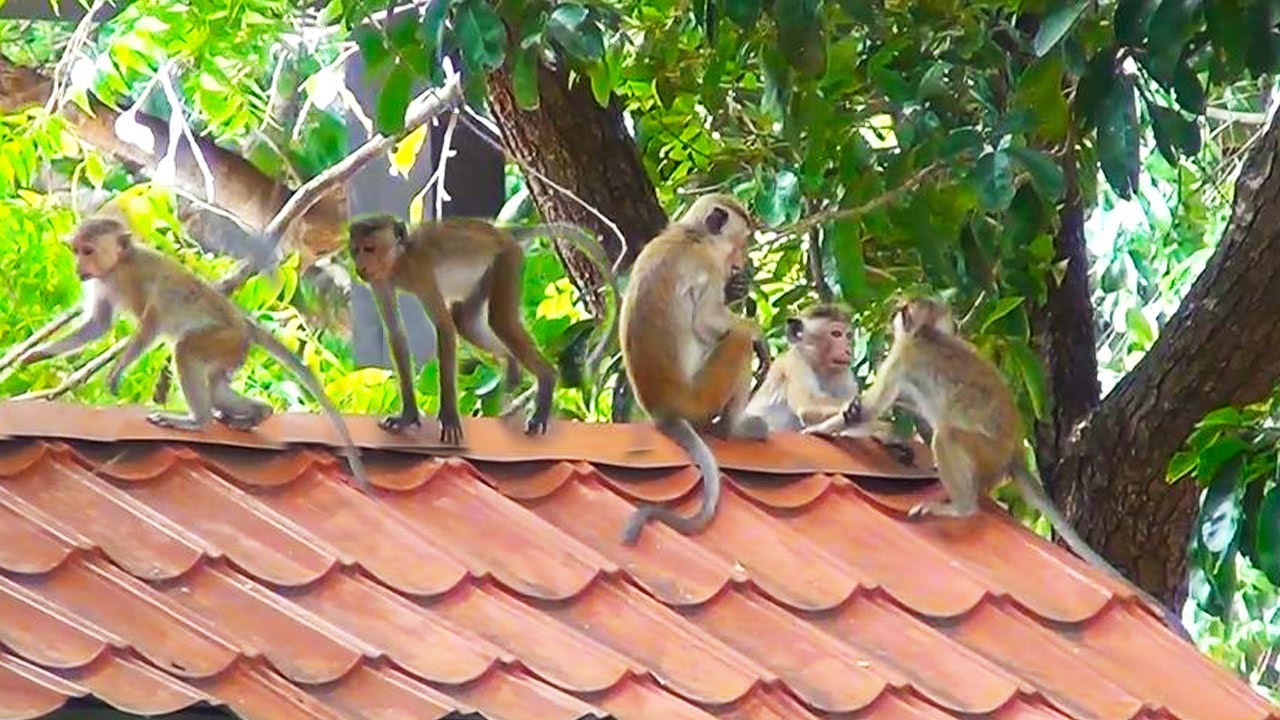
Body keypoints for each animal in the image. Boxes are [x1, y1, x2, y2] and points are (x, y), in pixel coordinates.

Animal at [18, 217, 373, 491]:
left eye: (88, 250)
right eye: (76, 250)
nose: (79, 266)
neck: (118, 264)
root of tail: (243, 326)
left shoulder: (136, 276)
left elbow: (151, 324)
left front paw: (116, 372)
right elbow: (98, 325)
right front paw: (37, 354)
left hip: (221, 339)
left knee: (186, 350)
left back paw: (196, 421)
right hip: (230, 351)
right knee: (216, 387)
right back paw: (258, 412)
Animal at [347, 215, 619, 445]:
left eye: (368, 249)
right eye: (355, 250)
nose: (359, 266)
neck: (399, 261)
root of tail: (501, 232)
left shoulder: (420, 269)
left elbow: (444, 328)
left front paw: (449, 417)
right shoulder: (380, 280)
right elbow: (397, 336)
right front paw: (408, 416)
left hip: (507, 260)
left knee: (500, 321)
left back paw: (546, 382)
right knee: (466, 321)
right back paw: (512, 369)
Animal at [618, 193, 770, 545]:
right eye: (738, 244)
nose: (739, 262)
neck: (693, 234)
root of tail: (662, 411)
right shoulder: (706, 266)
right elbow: (707, 322)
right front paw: (757, 333)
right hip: (701, 398)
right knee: (737, 342)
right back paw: (732, 428)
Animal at [743, 303, 915, 465]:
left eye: (848, 336)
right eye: (836, 334)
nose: (847, 350)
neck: (820, 368)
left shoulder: (845, 376)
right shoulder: (795, 364)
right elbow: (808, 407)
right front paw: (885, 430)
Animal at [803, 296, 1188, 637]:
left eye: (902, 310)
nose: (893, 315)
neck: (927, 334)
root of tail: (1013, 453)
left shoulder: (903, 356)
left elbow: (872, 408)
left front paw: (822, 429)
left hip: (984, 452)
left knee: (946, 436)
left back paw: (960, 507)